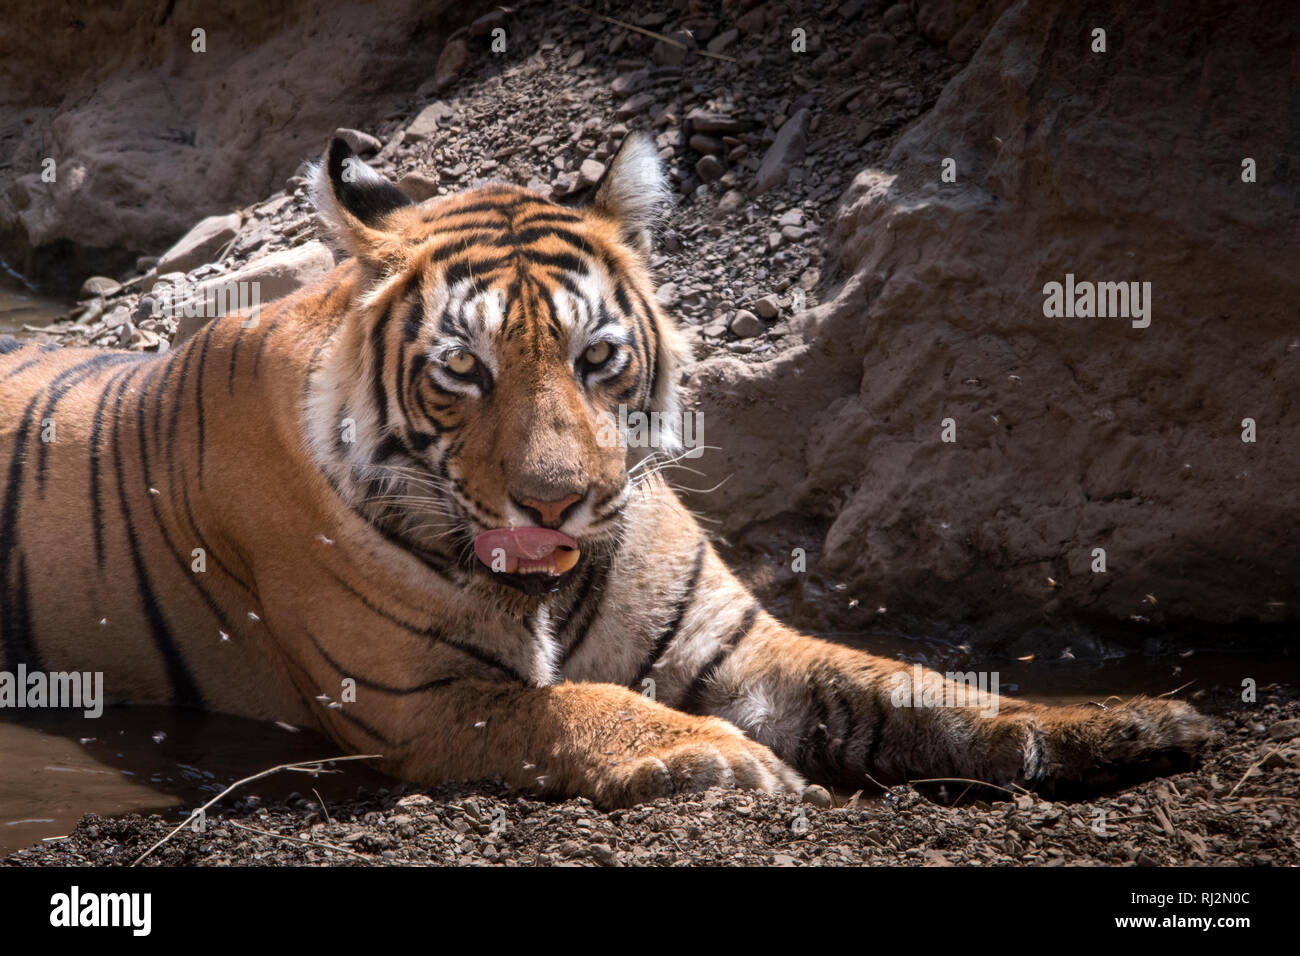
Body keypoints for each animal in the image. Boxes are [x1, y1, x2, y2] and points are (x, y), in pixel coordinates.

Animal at [0, 133, 1212, 808]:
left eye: (597, 357)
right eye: (462, 367)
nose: (555, 502)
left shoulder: (736, 642)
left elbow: (922, 687)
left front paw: (1133, 723)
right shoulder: (411, 694)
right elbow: (579, 705)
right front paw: (730, 760)